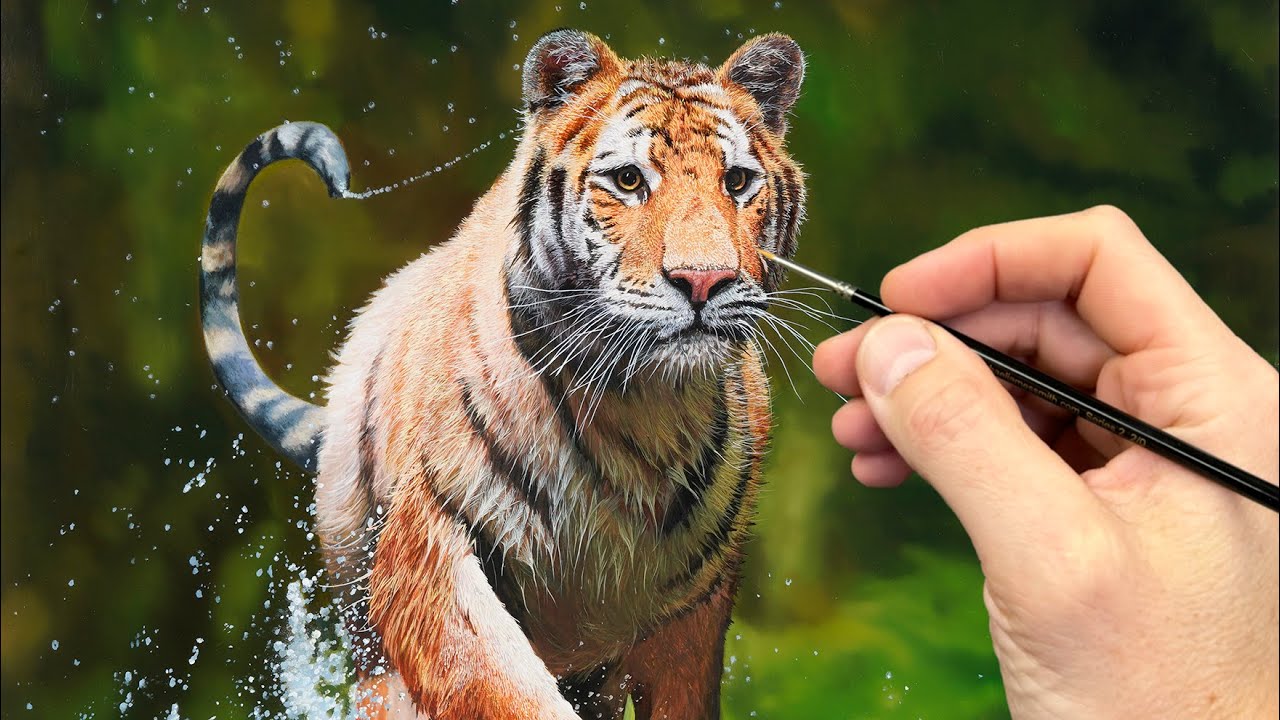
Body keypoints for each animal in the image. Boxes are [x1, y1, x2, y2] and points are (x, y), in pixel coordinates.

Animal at [200, 29, 806, 719]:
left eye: (737, 181)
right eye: (628, 180)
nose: (705, 280)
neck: (641, 406)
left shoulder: (694, 610)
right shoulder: (428, 557)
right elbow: (504, 688)